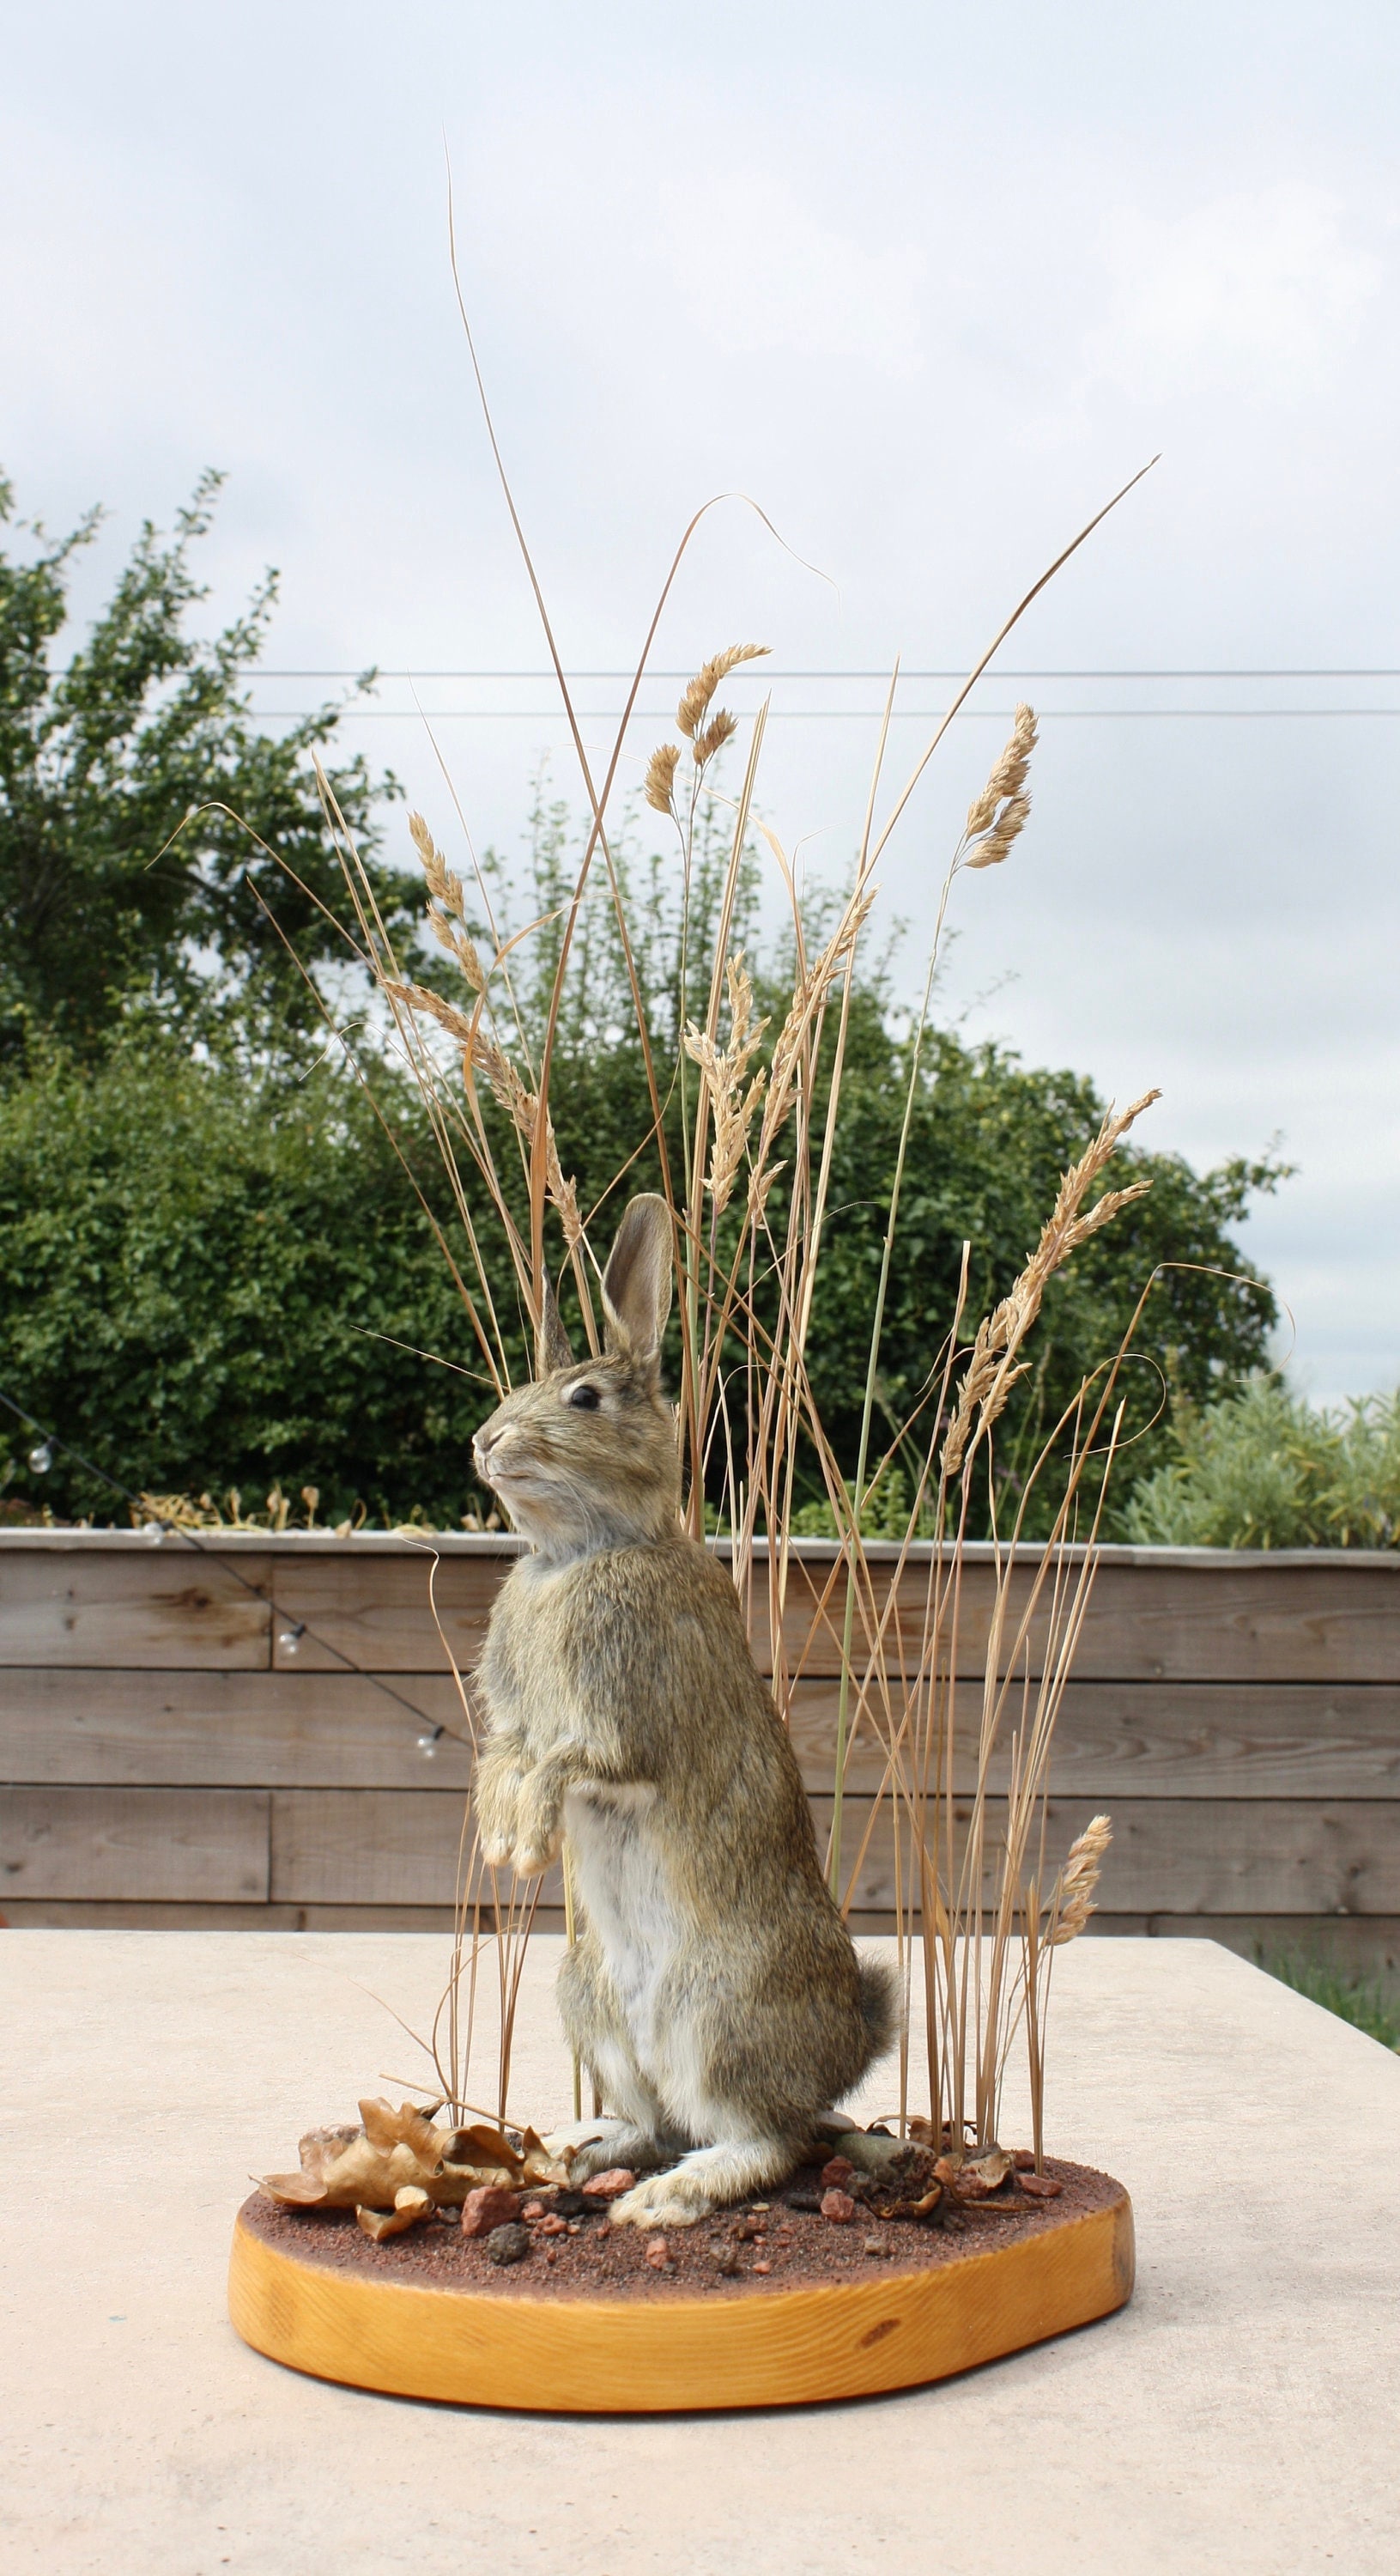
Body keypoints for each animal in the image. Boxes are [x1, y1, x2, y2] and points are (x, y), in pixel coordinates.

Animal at [470, 1190, 896, 2230]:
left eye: (585, 1398)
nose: (486, 1443)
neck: (577, 1555)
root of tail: (845, 2046)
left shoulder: (626, 1726)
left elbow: (569, 1763)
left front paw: (525, 1844)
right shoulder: (511, 1723)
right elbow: (502, 1759)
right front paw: (499, 1838)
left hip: (718, 2018)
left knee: (764, 2140)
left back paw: (663, 2201)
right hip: (588, 2003)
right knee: (654, 2120)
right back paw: (579, 2153)